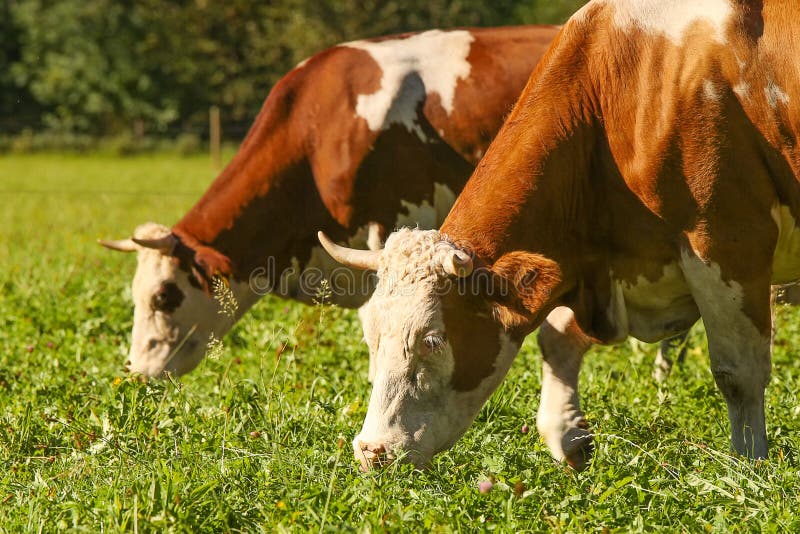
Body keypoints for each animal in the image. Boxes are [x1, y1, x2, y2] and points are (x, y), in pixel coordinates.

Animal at [319, 0, 798, 471]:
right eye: (371, 338)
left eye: (432, 340)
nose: (370, 451)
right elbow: (556, 341)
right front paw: (568, 432)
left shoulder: (728, 241)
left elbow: (738, 373)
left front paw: (751, 466)